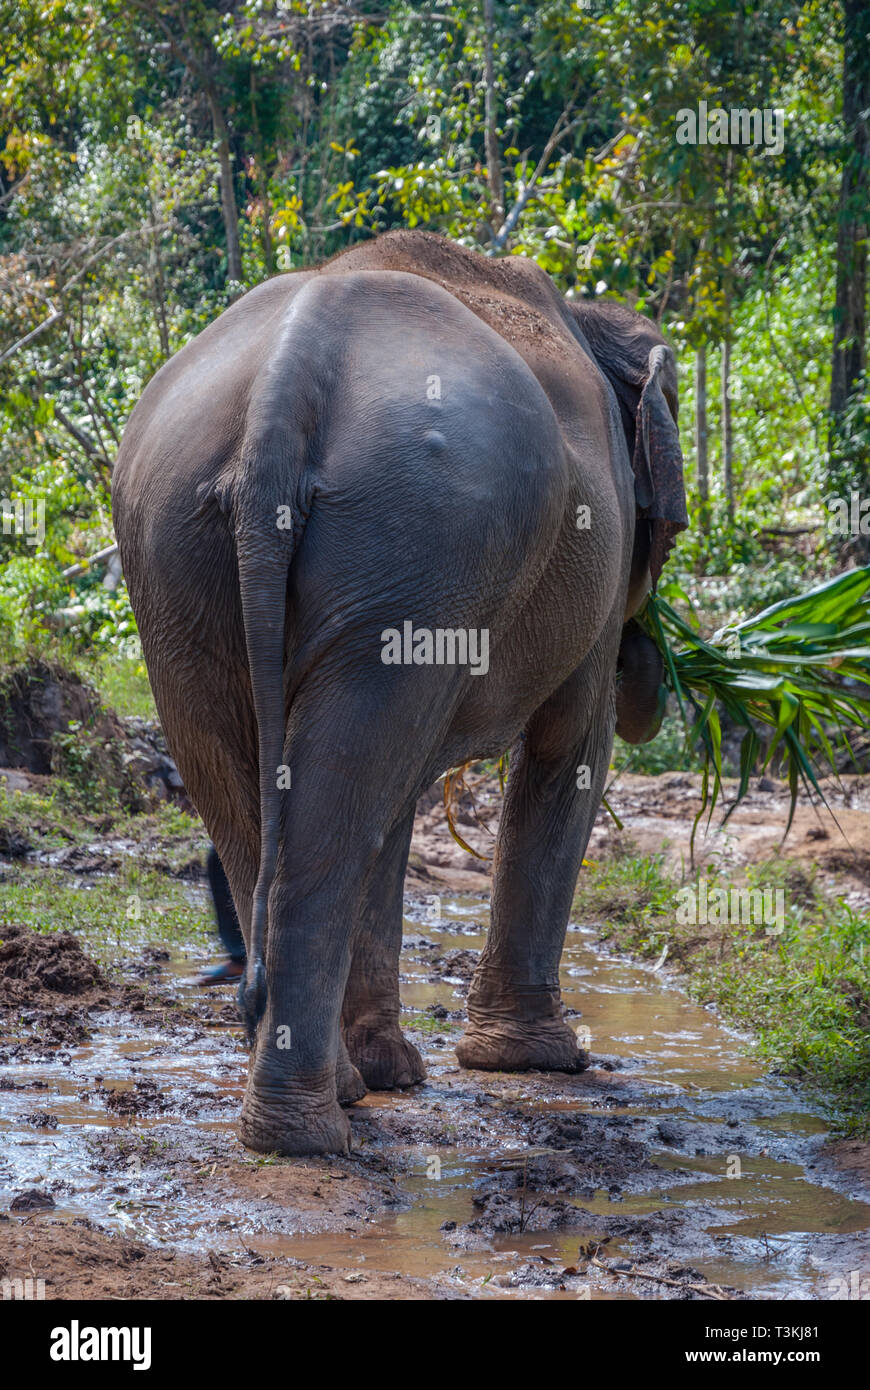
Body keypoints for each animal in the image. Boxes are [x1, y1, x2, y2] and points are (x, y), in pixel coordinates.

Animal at [112, 229, 686, 1156]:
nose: (661, 672)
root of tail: (286, 381)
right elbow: (570, 749)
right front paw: (541, 1063)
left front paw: (396, 1076)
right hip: (418, 536)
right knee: (343, 807)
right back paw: (309, 1132)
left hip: (184, 556)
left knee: (284, 800)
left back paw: (324, 1095)